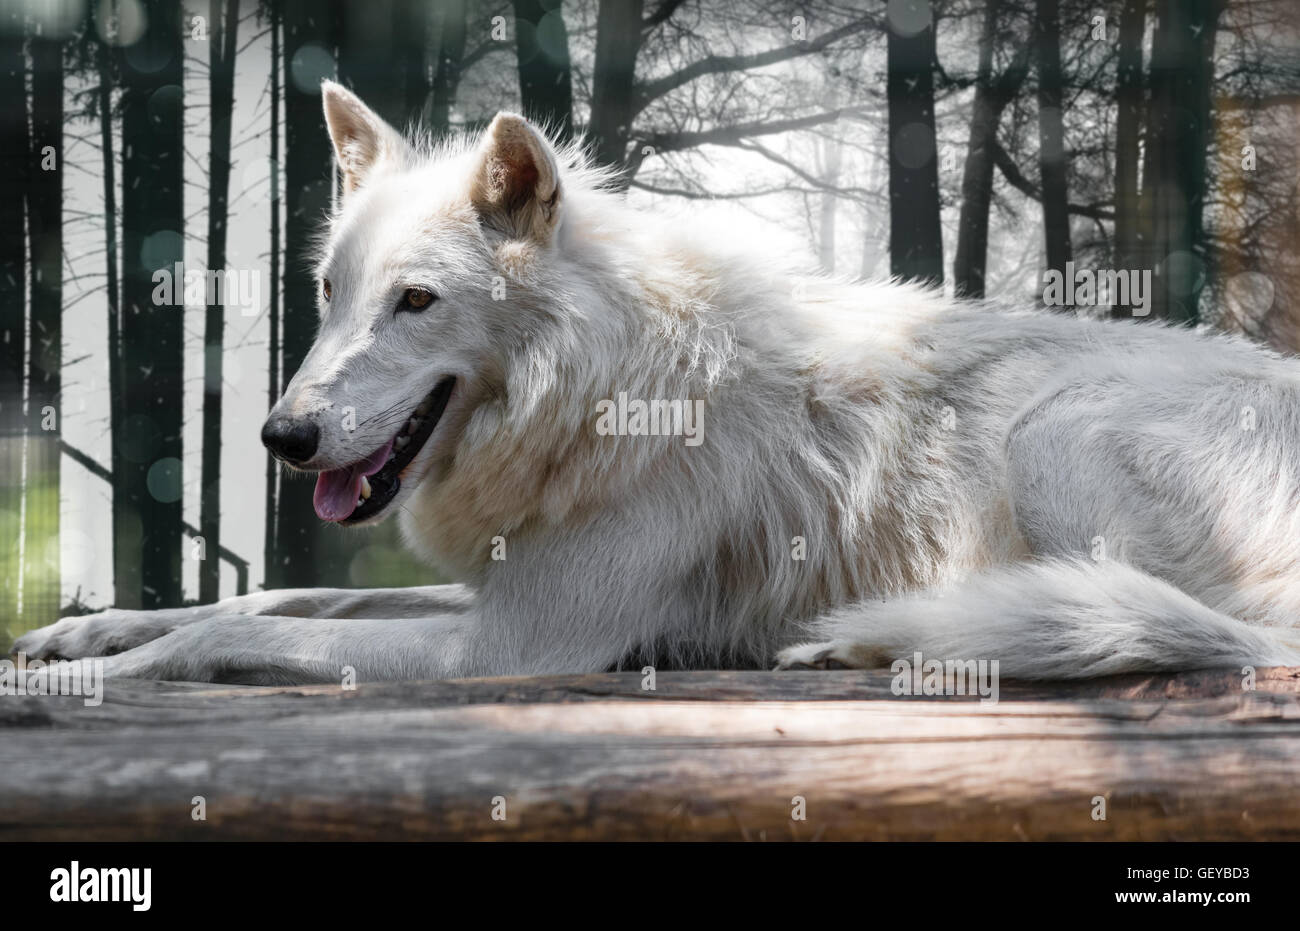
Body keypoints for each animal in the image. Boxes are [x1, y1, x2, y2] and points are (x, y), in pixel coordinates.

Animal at [13, 83, 1300, 684]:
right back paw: (855, 646)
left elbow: (237, 634)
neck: (597, 382)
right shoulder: (501, 585)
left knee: (1168, 625)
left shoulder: (514, 644)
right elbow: (267, 601)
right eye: (330, 292)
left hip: (1053, 435)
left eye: (415, 302)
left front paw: (100, 675)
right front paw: (86, 634)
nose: (281, 436)